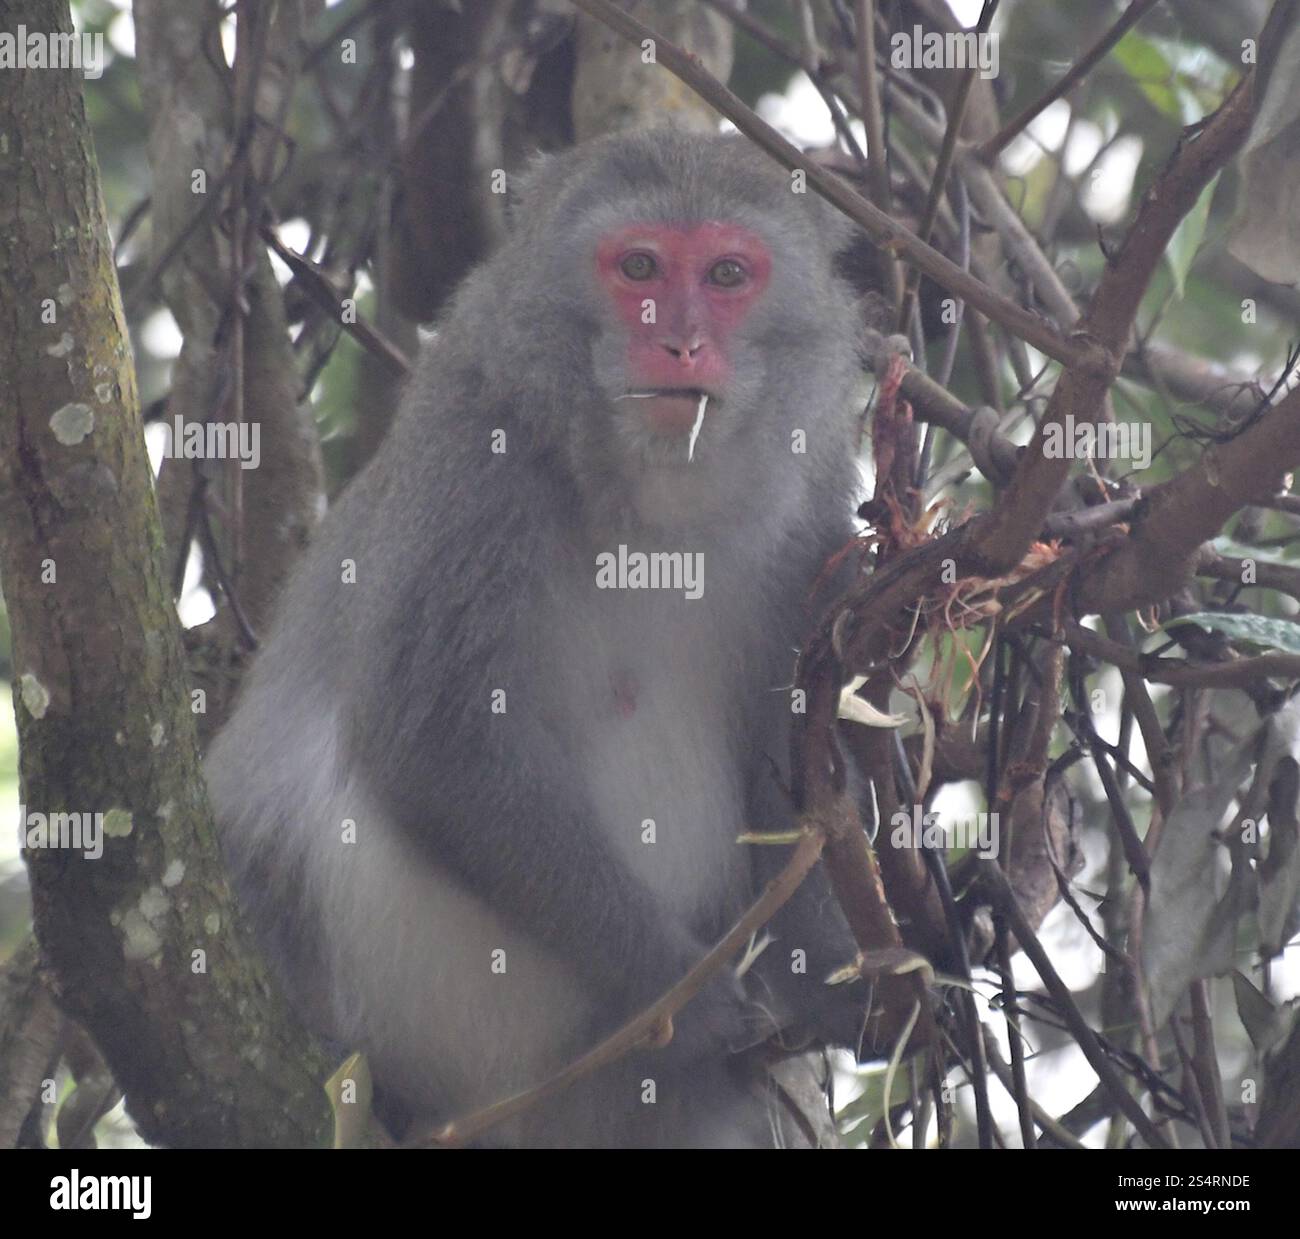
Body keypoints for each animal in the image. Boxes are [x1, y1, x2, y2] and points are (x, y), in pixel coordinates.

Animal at [206, 127, 871, 1148]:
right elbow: (435, 739)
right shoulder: (474, 452)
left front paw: (835, 972)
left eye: (726, 274)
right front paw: (681, 995)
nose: (680, 341)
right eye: (638, 267)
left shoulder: (815, 515)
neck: (656, 510)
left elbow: (788, 774)